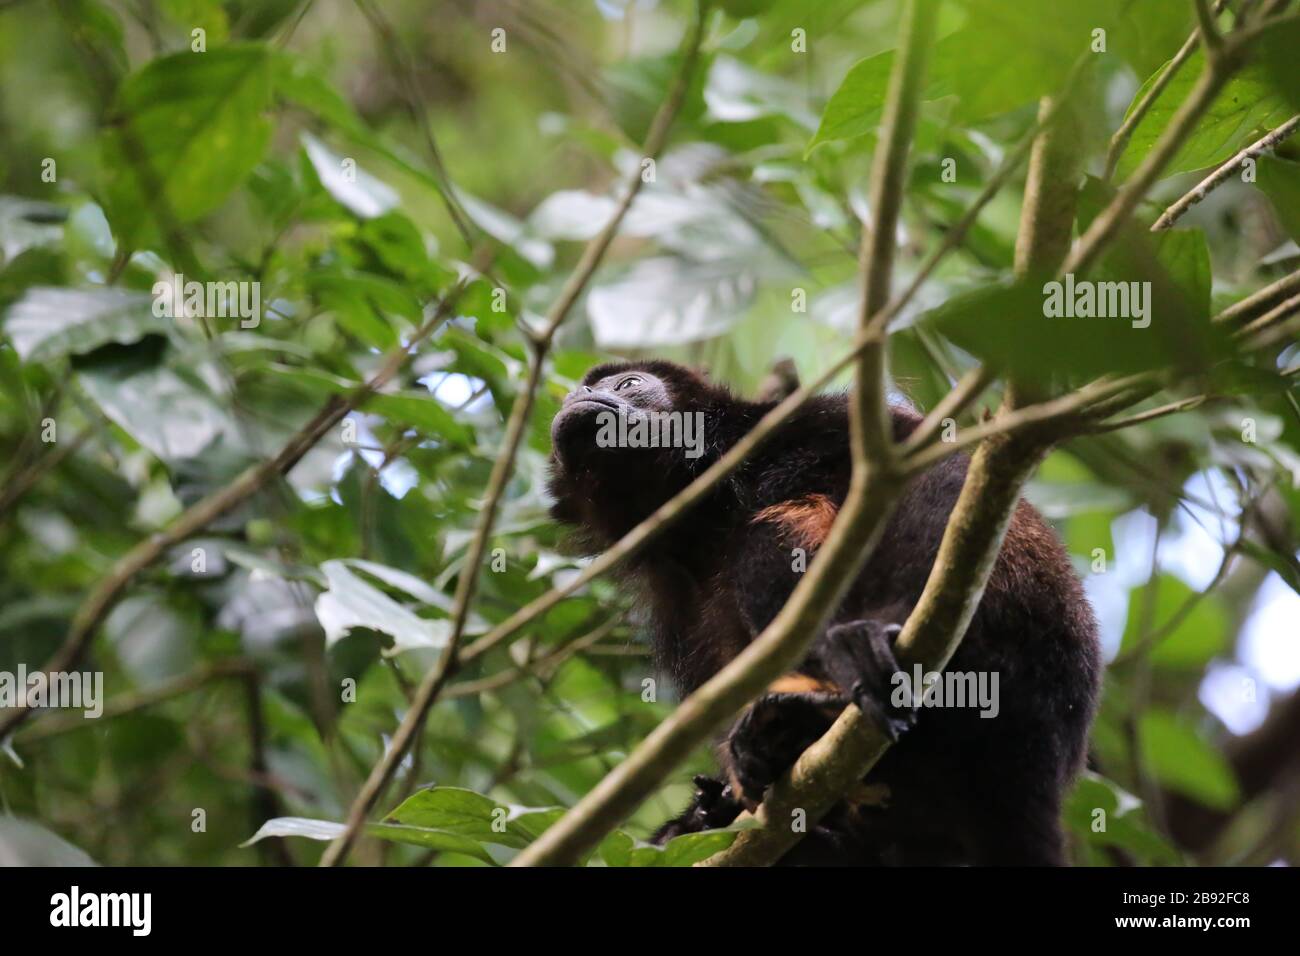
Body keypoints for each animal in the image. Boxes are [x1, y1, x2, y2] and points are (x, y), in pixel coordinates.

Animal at [547, 359, 1102, 865]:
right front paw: (701, 817)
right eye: (580, 390)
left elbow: (938, 475)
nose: (580, 395)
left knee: (768, 535)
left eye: (627, 384)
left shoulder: (811, 421)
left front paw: (870, 633)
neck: (703, 506)